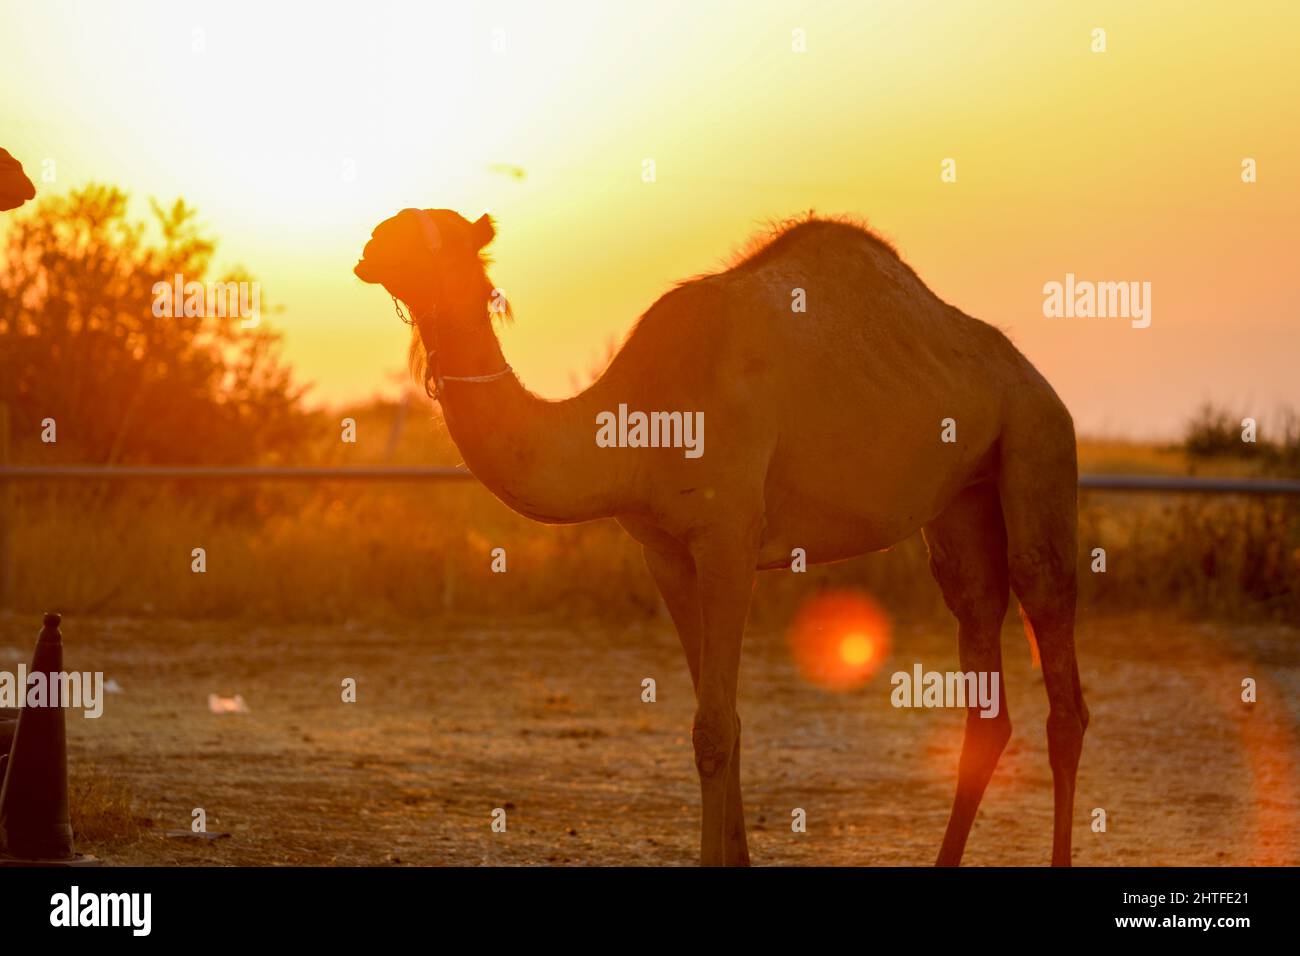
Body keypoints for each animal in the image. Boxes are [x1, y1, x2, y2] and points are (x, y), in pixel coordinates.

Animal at [354, 208, 1087, 867]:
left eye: (434, 237)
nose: (368, 243)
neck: (633, 422)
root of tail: (1032, 375)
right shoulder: (666, 553)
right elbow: (724, 723)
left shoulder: (729, 538)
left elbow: (711, 730)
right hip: (961, 503)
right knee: (980, 652)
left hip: (1037, 436)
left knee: (1055, 653)